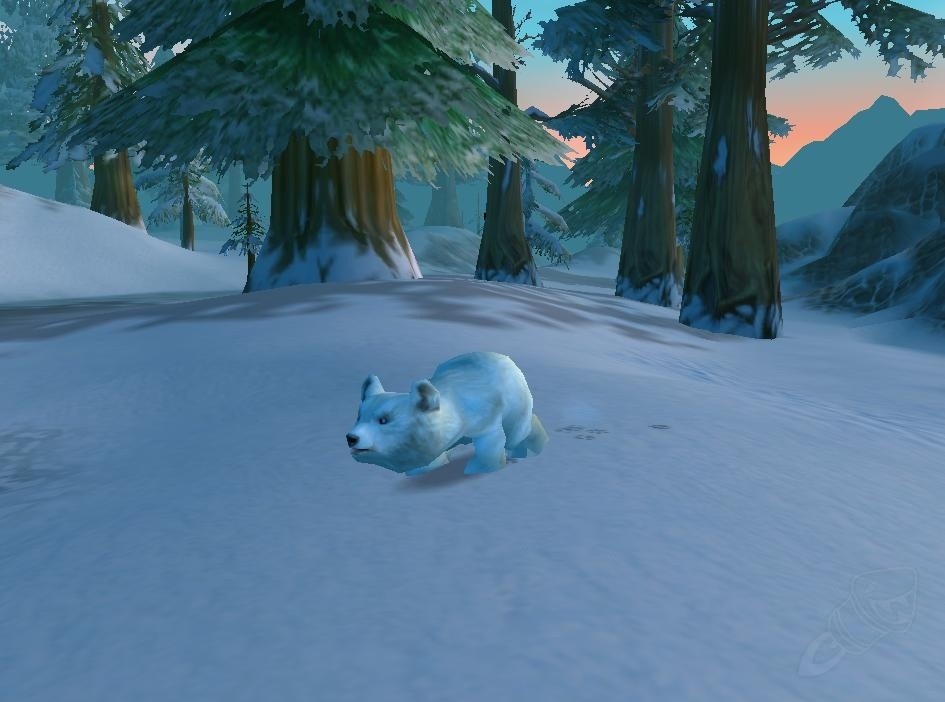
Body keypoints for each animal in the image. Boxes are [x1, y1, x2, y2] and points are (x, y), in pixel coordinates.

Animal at [346, 352, 548, 475]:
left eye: (383, 419)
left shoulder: (485, 411)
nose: (351, 437)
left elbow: (490, 439)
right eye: (359, 416)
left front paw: (478, 468)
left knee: (518, 432)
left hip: (518, 398)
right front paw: (425, 468)